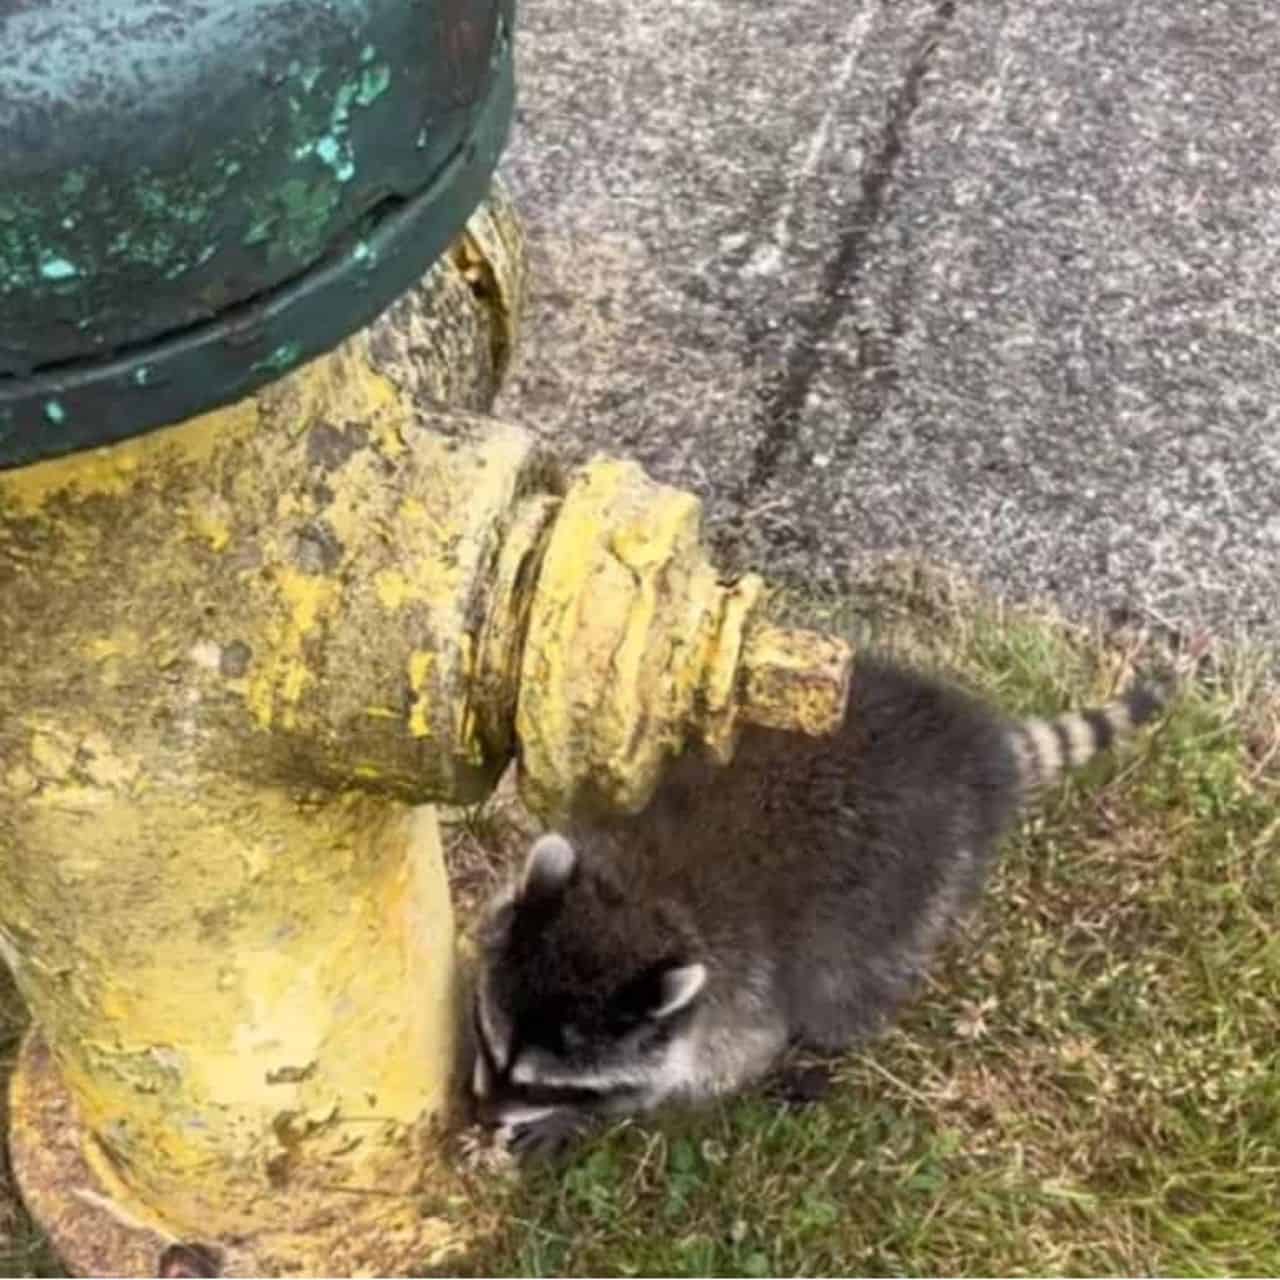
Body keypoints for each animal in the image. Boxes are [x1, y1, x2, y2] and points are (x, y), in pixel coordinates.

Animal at [471, 655, 1163, 1154]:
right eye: (488, 1038)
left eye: (542, 1082)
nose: (477, 1116)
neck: (638, 900)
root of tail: (975, 754)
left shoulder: (736, 1000)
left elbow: (717, 1069)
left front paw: (590, 1118)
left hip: (923, 888)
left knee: (849, 987)